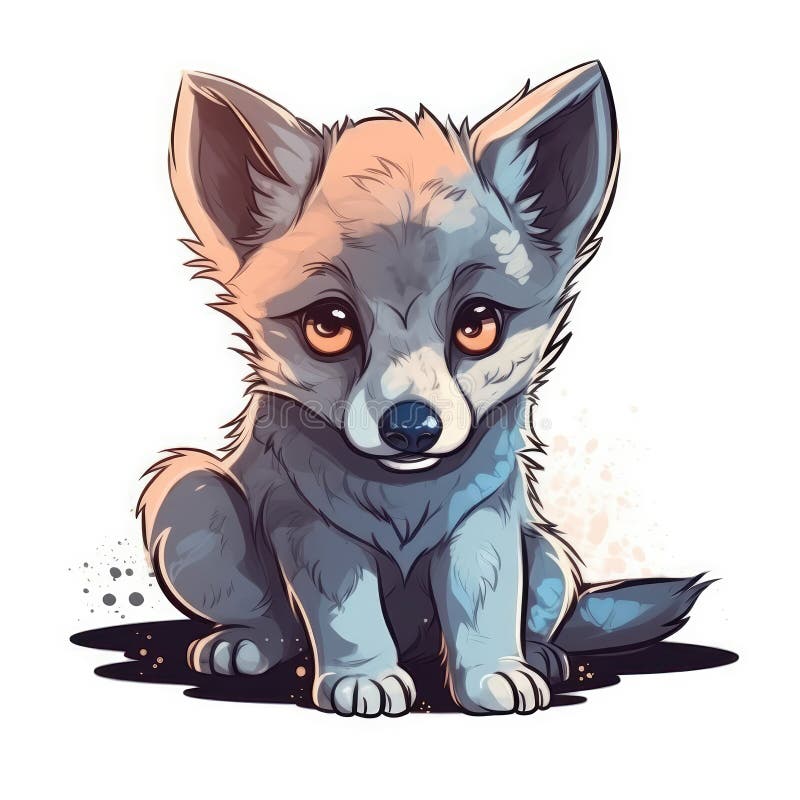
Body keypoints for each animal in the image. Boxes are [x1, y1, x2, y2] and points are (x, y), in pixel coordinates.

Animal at [138, 62, 710, 716]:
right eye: (328, 326)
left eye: (478, 323)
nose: (411, 426)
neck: (402, 496)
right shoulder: (312, 530)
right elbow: (347, 615)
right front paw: (363, 677)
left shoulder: (484, 521)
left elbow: (483, 604)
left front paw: (494, 674)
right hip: (188, 497)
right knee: (278, 625)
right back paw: (245, 644)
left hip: (549, 555)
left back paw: (541, 653)